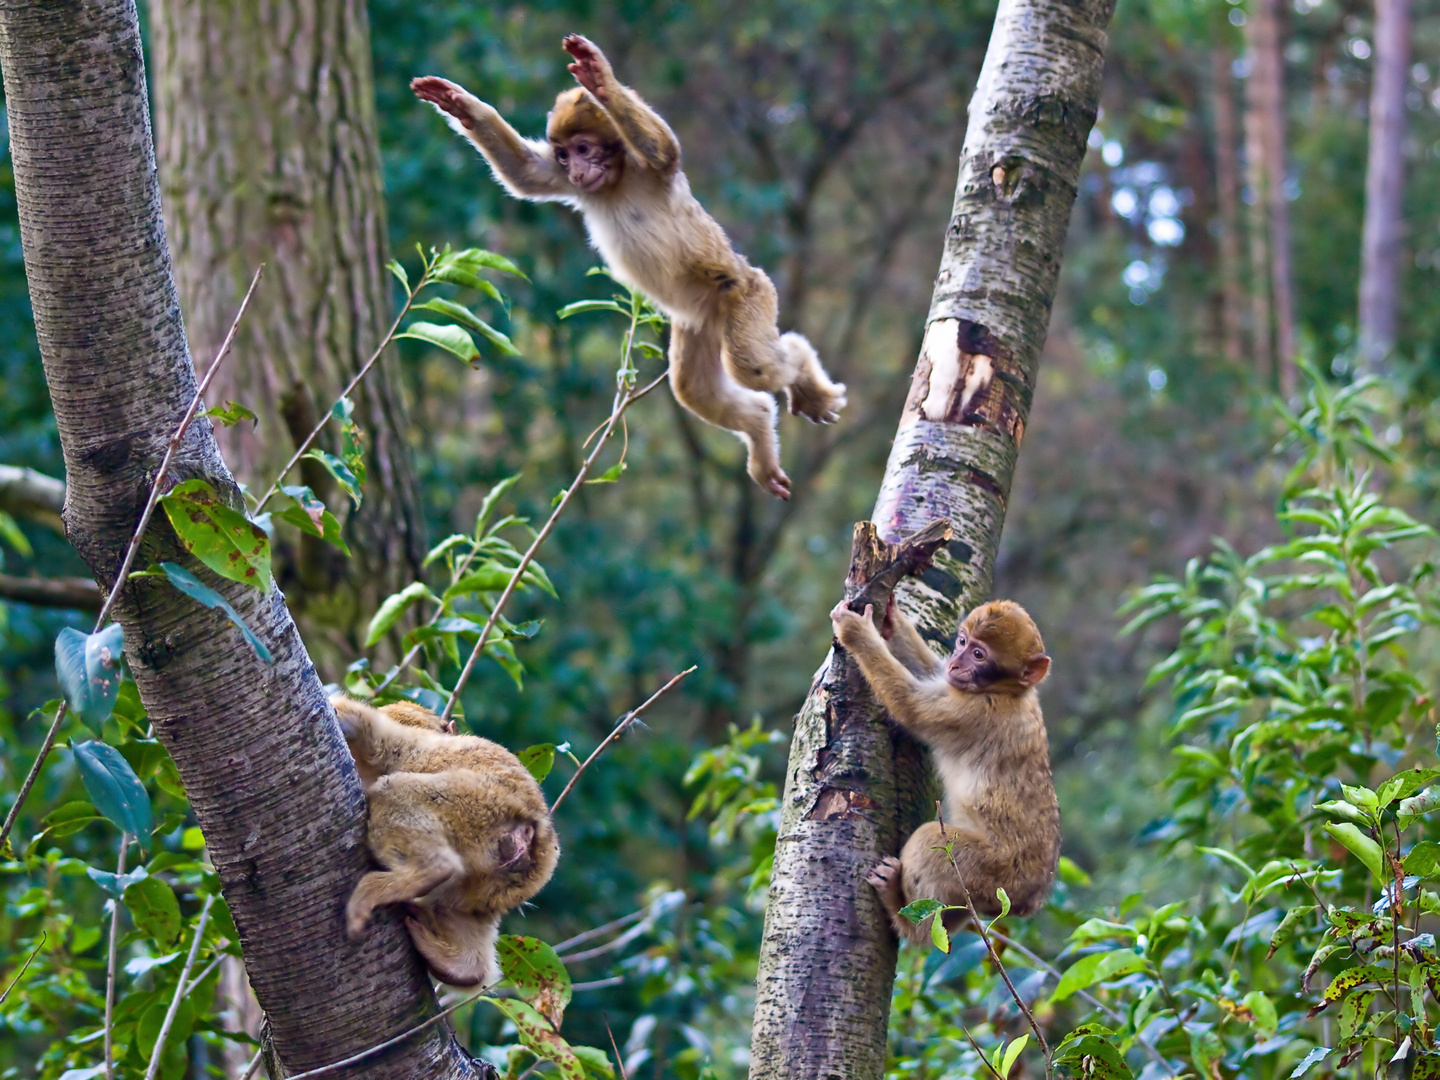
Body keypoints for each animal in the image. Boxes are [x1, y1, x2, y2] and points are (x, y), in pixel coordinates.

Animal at [411, 36, 846, 501]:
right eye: (563, 155)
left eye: (583, 148)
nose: (576, 169)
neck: (616, 179)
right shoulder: (567, 182)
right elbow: (525, 173)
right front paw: (461, 104)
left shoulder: (651, 170)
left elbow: (667, 149)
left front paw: (602, 80)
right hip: (700, 321)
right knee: (696, 389)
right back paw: (762, 425)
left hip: (748, 294)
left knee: (753, 365)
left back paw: (802, 372)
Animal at [835, 529, 1059, 944]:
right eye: (961, 643)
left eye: (979, 655)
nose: (957, 664)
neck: (1008, 693)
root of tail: (1029, 902)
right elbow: (929, 672)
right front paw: (891, 622)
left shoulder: (972, 714)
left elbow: (910, 706)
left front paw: (857, 632)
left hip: (990, 871)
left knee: (931, 843)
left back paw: (905, 920)